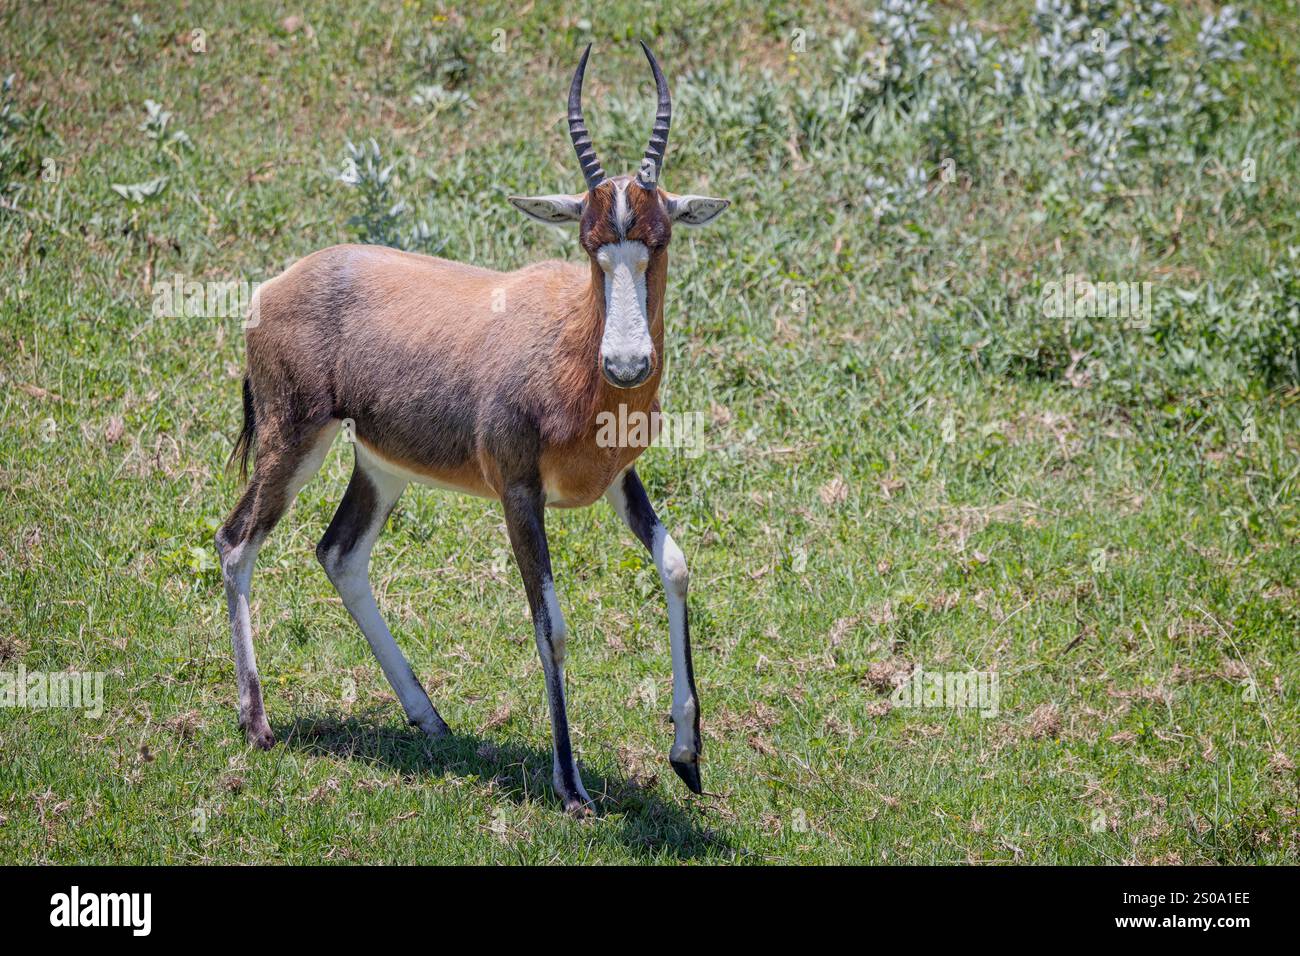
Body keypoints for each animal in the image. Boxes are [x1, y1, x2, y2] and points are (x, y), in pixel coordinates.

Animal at [216, 42, 728, 814]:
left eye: (657, 240)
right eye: (590, 244)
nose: (627, 363)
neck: (568, 338)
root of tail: (274, 286)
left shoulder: (618, 478)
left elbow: (675, 566)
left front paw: (688, 757)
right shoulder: (519, 493)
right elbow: (551, 626)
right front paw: (572, 788)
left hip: (379, 466)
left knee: (339, 553)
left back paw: (428, 717)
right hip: (294, 438)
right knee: (236, 541)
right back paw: (258, 724)